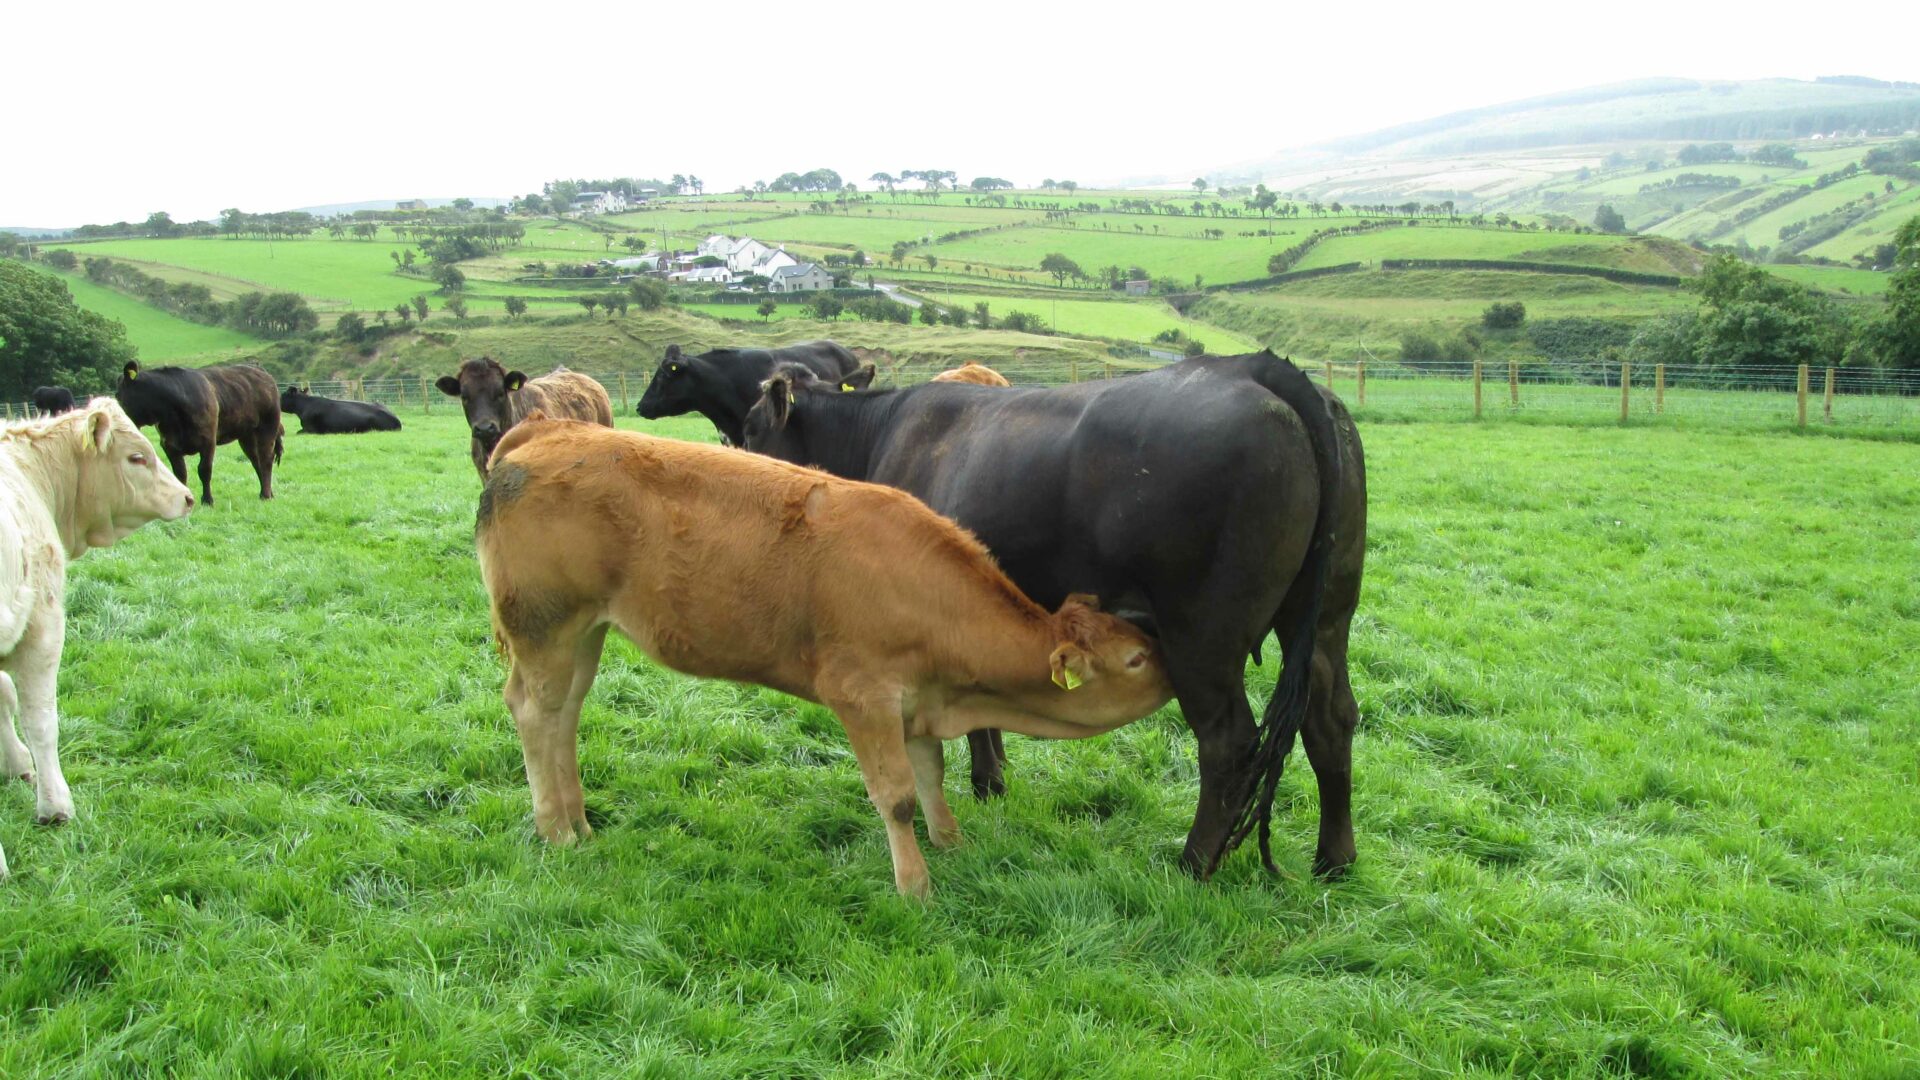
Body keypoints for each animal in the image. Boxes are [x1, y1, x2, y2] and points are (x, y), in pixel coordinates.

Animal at [0, 399, 195, 879]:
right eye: (136, 457)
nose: (187, 497)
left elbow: (5, 697)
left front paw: (15, 764)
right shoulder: (42, 626)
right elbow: (41, 721)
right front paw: (55, 807)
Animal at [115, 361, 282, 505]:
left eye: (118, 396)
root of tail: (260, 370)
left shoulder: (208, 441)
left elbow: (204, 470)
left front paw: (207, 500)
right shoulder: (169, 444)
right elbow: (180, 473)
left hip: (268, 426)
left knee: (266, 459)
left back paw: (266, 495)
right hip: (246, 435)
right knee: (256, 461)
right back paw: (267, 492)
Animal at [476, 416, 1173, 896]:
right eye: (1137, 658)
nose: (1177, 676)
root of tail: (548, 429)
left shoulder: (917, 700)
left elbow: (931, 774)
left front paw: (949, 841)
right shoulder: (862, 694)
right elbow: (896, 793)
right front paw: (915, 884)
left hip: (583, 630)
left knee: (565, 713)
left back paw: (580, 822)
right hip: (544, 624)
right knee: (533, 712)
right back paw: (556, 830)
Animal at [743, 349, 1367, 880]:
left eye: (751, 430)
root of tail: (1255, 367)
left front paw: (985, 780)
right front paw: (994, 778)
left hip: (1202, 631)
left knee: (1228, 740)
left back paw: (1193, 864)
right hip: (1328, 614)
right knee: (1331, 717)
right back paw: (1334, 860)